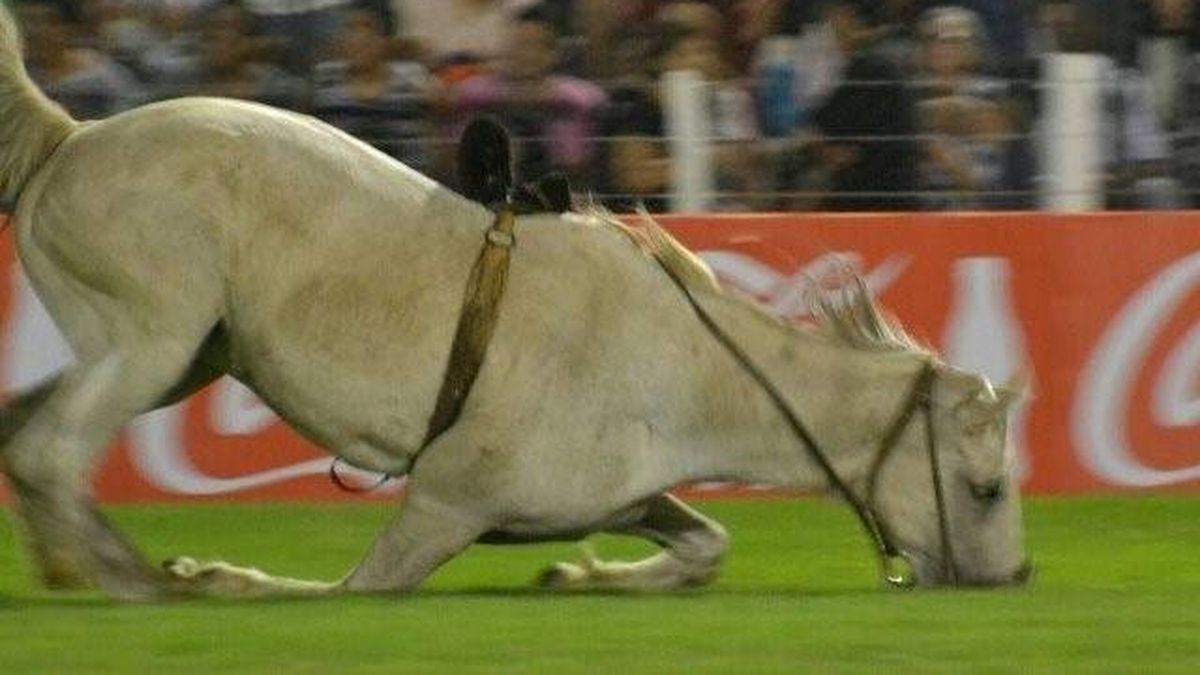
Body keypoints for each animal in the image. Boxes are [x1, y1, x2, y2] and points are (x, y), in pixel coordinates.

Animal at [0, 8, 1029, 601]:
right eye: (986, 487)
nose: (1017, 573)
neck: (684, 367)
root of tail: (68, 138)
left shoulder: (618, 494)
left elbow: (707, 541)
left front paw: (580, 574)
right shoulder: (444, 500)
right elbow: (345, 591)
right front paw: (214, 574)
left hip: (180, 355)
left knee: (23, 432)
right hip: (152, 343)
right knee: (52, 452)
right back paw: (135, 578)